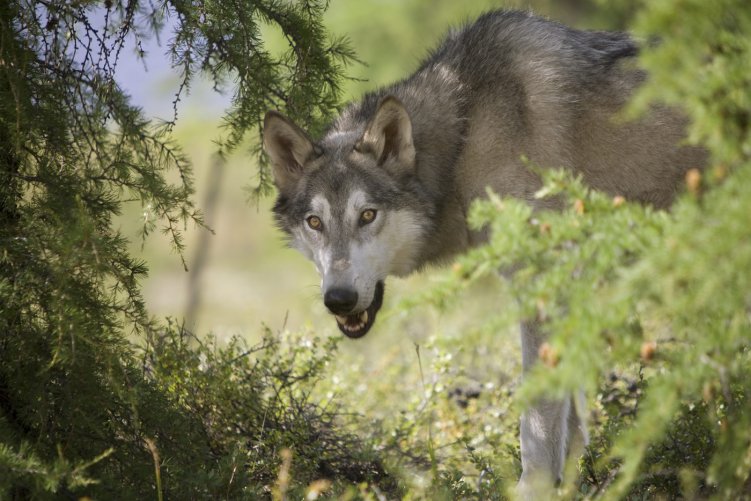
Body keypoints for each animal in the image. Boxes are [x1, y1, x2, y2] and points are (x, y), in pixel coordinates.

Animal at [262, 9, 704, 495]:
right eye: (315, 222)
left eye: (367, 215)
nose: (338, 299)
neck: (466, 134)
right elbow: (572, 421)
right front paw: (572, 484)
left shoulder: (539, 278)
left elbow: (538, 418)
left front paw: (533, 489)